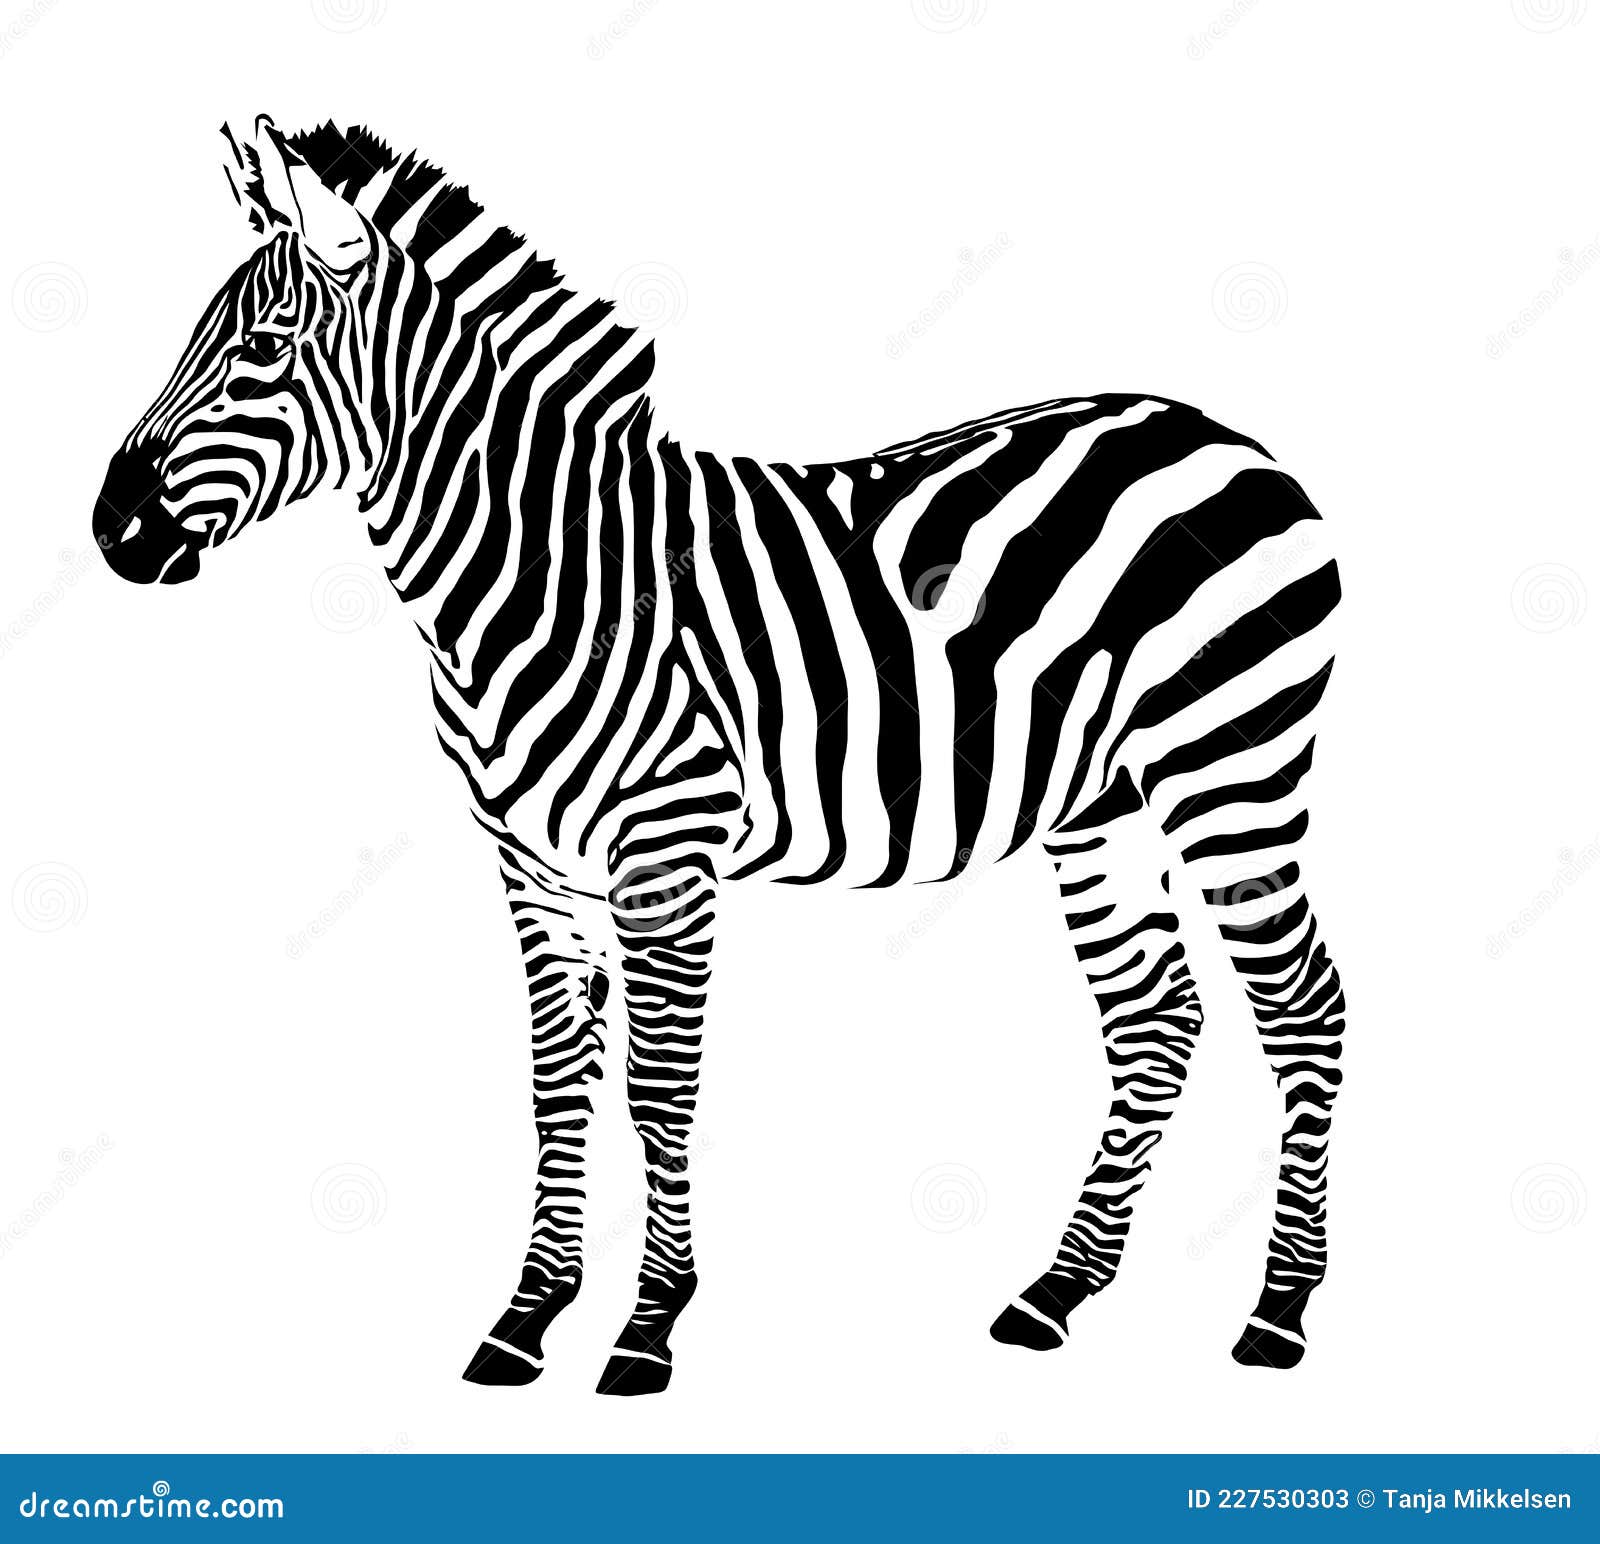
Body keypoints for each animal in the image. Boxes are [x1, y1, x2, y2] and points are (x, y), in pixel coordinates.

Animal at [93, 117, 1348, 1395]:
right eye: (194, 335)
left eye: (263, 347)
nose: (112, 530)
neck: (541, 570)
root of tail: (1225, 435)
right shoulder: (529, 858)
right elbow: (559, 1079)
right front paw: (526, 1316)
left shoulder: (667, 844)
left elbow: (659, 1086)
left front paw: (647, 1325)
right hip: (1103, 803)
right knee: (1156, 1017)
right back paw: (1056, 1291)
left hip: (1229, 769)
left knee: (1304, 1007)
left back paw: (1277, 1312)